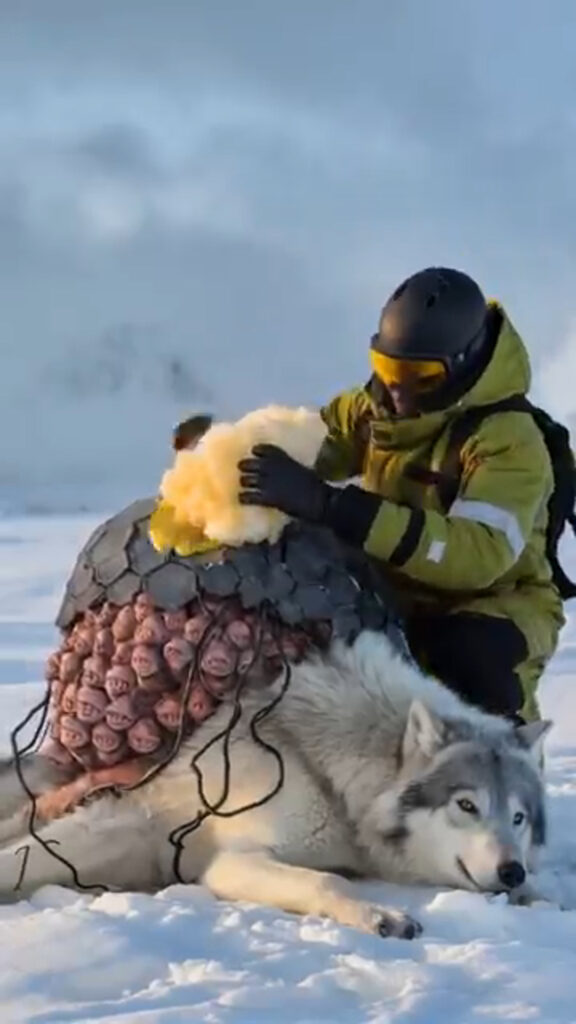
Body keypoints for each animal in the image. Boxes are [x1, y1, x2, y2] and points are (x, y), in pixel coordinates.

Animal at [0, 630, 549, 939]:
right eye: (467, 805)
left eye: (518, 818)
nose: (512, 871)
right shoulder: (232, 861)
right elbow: (325, 880)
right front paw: (379, 915)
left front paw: (540, 896)